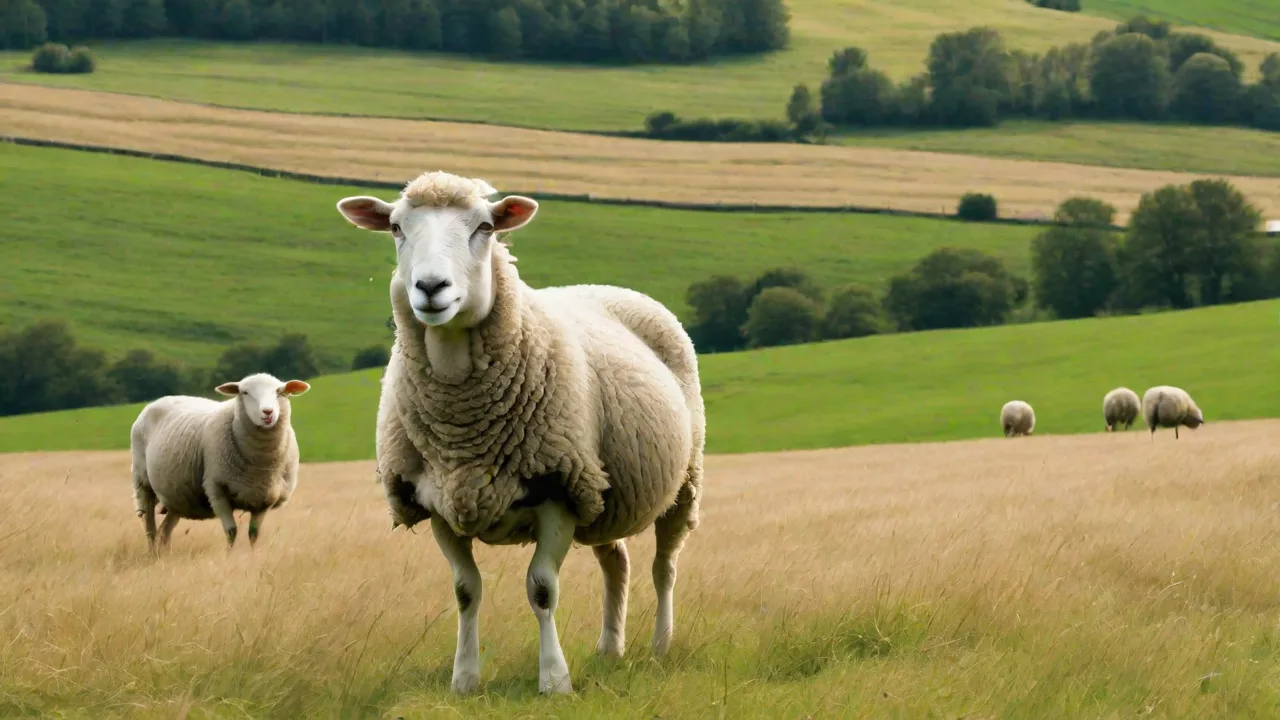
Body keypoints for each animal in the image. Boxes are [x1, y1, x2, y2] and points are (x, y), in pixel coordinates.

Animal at [130, 373, 311, 552]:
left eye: (279, 392)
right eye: (244, 392)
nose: (267, 412)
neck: (259, 464)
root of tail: (159, 400)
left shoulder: (264, 497)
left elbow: (254, 534)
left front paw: (252, 556)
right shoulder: (215, 488)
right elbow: (231, 531)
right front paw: (229, 555)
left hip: (179, 495)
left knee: (165, 530)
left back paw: (164, 554)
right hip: (143, 481)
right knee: (150, 527)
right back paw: (153, 553)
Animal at [335, 171, 704, 696]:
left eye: (485, 227)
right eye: (396, 227)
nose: (430, 287)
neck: (463, 427)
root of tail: (606, 286)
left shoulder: (558, 492)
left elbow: (542, 590)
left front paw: (554, 680)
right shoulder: (439, 502)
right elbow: (465, 591)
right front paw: (464, 679)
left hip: (680, 479)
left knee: (664, 566)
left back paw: (660, 646)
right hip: (601, 489)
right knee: (617, 562)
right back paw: (610, 649)